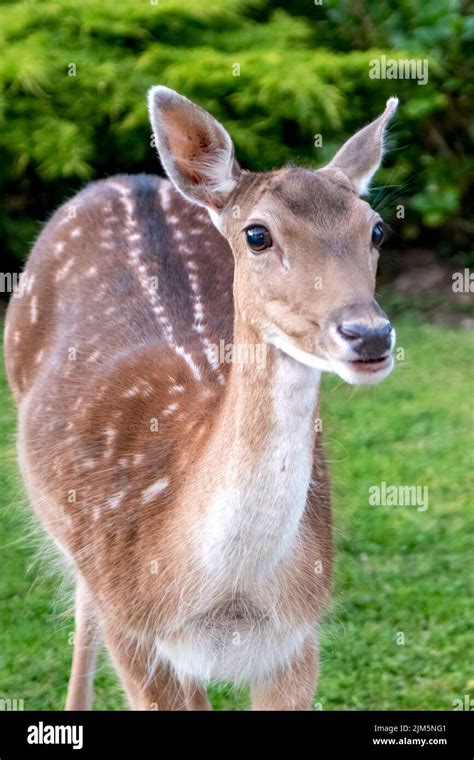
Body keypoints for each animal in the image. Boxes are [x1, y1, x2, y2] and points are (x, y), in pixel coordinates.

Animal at [4, 87, 398, 711]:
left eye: (377, 230)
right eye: (257, 234)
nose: (369, 334)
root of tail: (122, 180)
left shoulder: (298, 635)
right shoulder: (134, 633)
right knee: (83, 600)